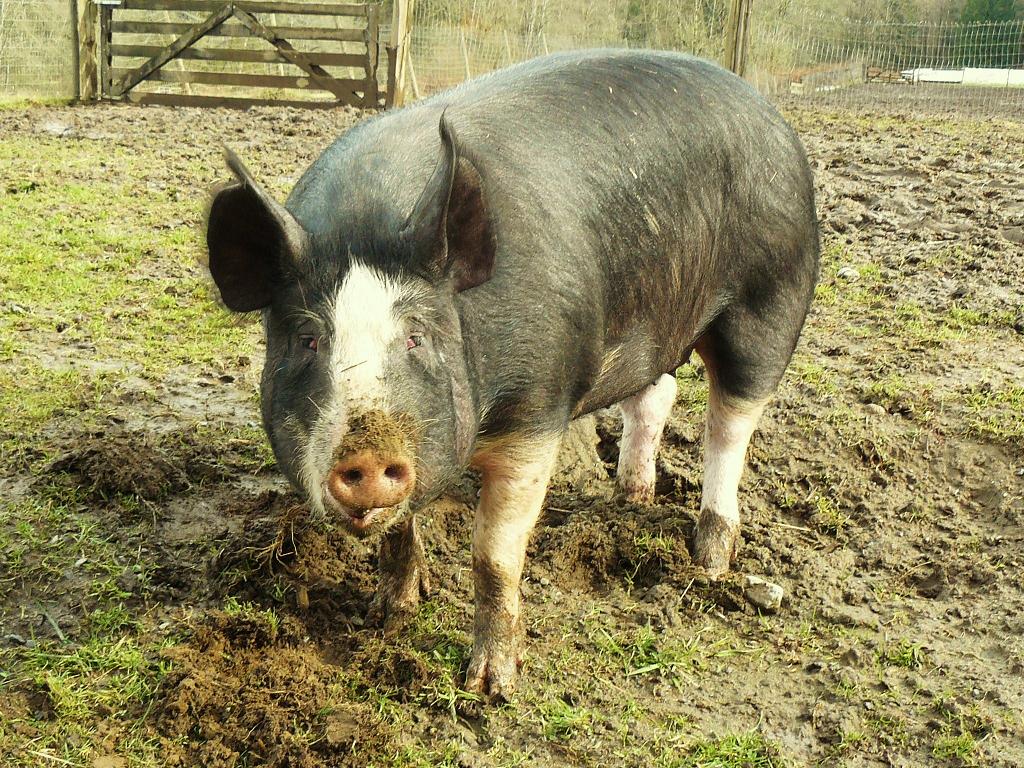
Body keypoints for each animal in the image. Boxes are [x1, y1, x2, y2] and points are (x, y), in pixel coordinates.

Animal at [205, 49, 819, 699]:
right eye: (308, 339)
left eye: (418, 336)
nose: (367, 456)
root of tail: (769, 113)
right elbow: (399, 530)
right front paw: (389, 616)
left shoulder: (536, 412)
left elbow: (494, 554)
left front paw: (490, 686)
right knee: (658, 392)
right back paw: (631, 496)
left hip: (771, 298)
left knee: (730, 424)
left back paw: (709, 561)